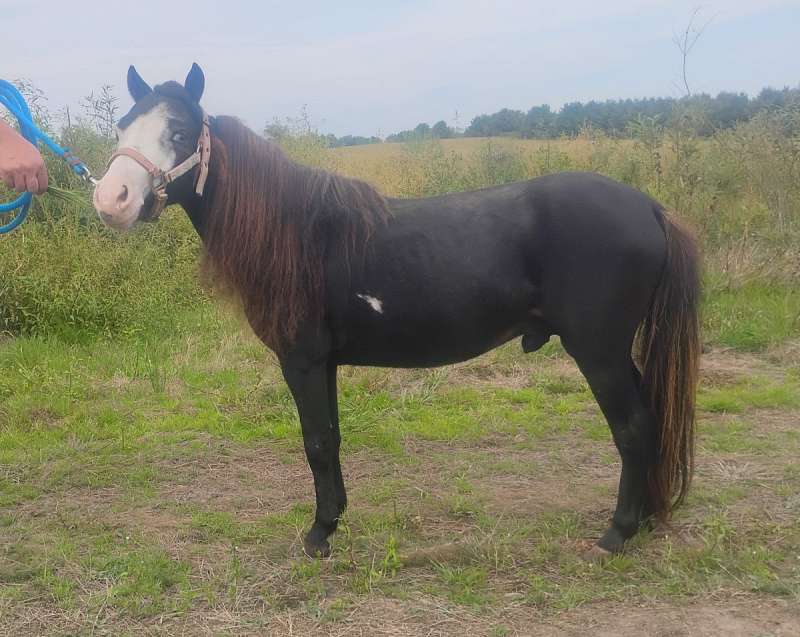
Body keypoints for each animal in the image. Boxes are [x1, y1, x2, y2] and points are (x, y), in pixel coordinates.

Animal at [93, 64, 701, 560]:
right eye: (122, 127)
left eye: (179, 131)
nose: (111, 199)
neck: (298, 233)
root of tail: (647, 206)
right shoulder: (324, 364)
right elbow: (331, 437)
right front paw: (333, 519)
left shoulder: (302, 360)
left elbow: (317, 442)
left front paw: (319, 535)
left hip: (598, 351)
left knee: (633, 428)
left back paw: (617, 533)